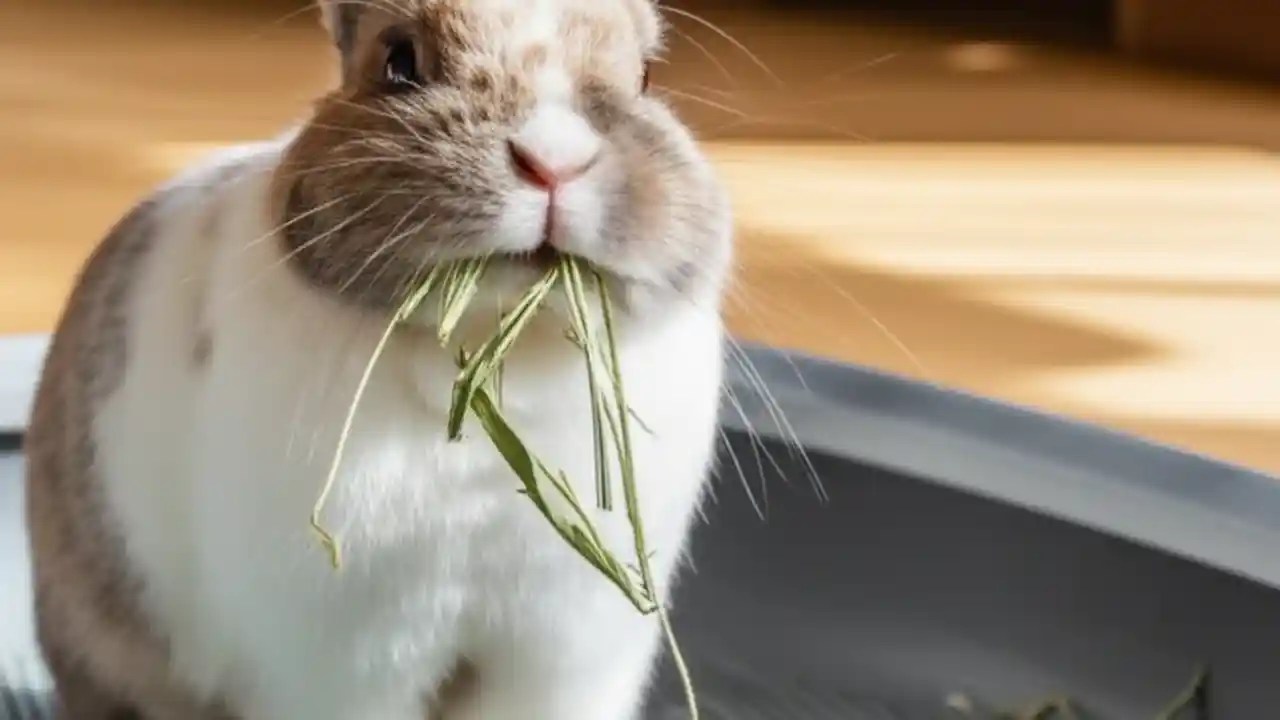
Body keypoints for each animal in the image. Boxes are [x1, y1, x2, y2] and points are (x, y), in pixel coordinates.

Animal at [24, 0, 733, 719]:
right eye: (399, 62)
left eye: (646, 76)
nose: (553, 162)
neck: (497, 345)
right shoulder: (343, 666)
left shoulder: (562, 663)